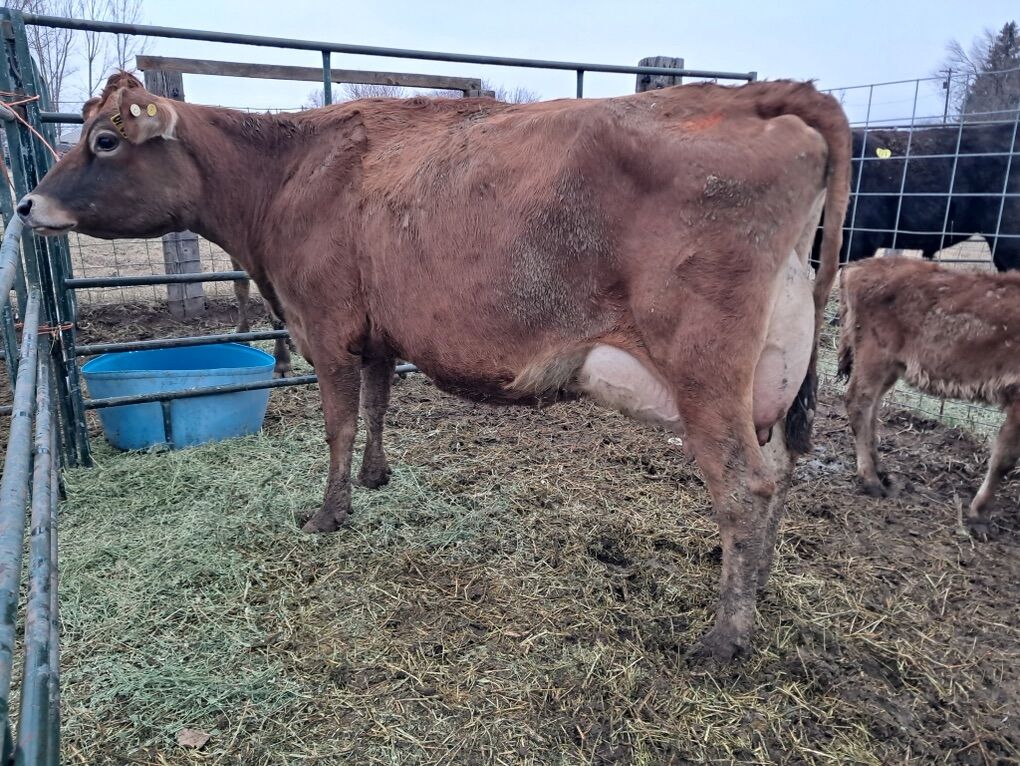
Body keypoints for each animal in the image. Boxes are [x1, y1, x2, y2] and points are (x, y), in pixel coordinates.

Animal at [18, 72, 850, 660]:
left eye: (104, 141)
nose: (26, 205)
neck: (286, 175)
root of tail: (763, 94)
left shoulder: (324, 326)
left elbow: (338, 423)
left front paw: (328, 513)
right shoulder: (377, 330)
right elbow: (379, 402)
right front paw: (375, 478)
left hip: (706, 370)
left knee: (744, 487)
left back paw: (723, 638)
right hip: (776, 370)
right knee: (781, 473)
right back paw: (757, 589)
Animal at [838, 256, 1020, 536]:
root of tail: (858, 267)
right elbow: (1005, 457)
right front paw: (979, 516)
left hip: (893, 364)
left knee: (873, 407)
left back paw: (880, 470)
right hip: (874, 354)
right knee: (859, 403)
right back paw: (870, 479)